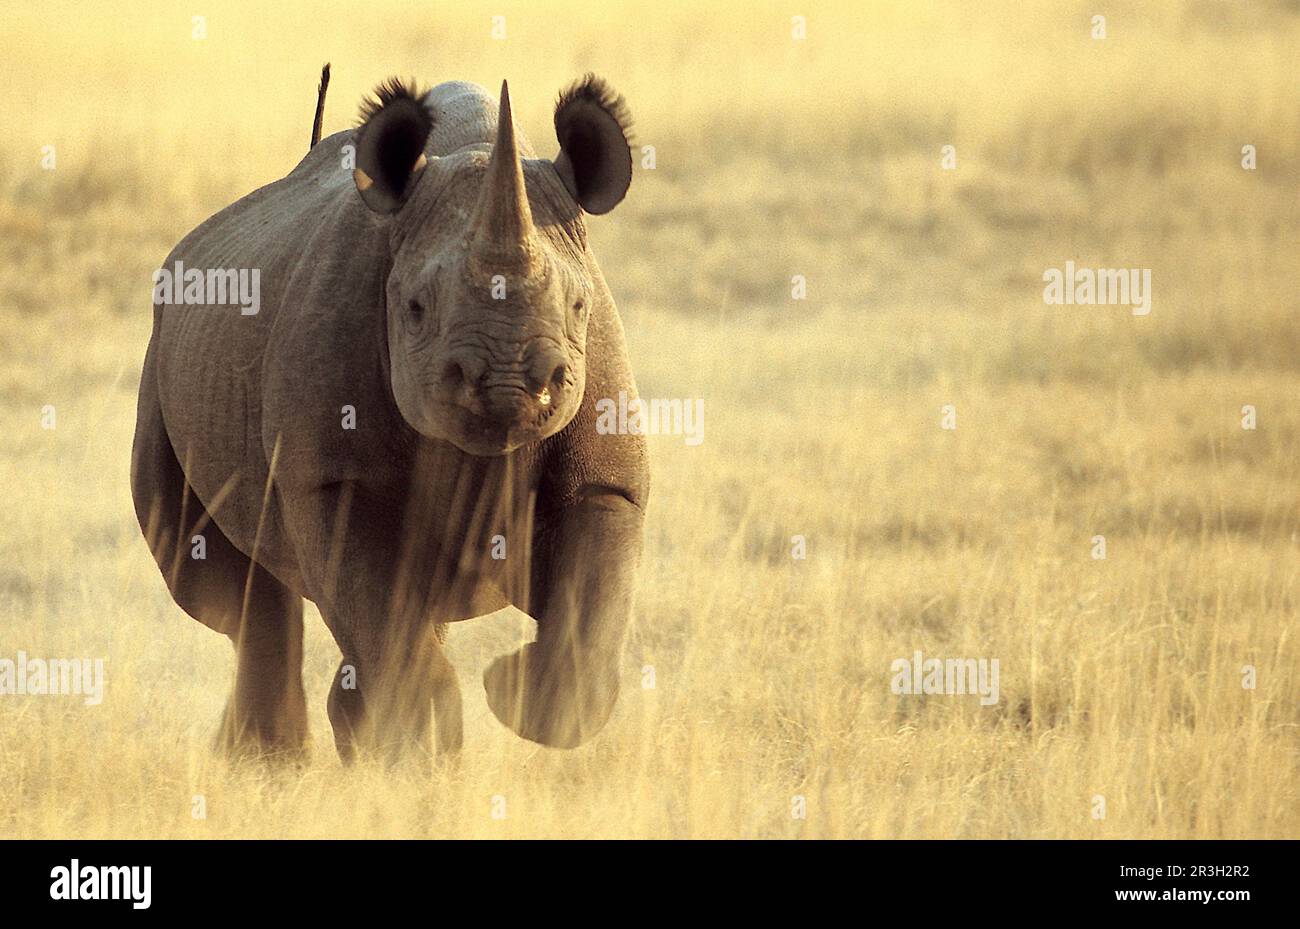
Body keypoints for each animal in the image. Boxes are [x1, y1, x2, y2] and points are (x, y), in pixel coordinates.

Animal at [130, 68, 648, 759]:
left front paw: (507, 690)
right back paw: (268, 763)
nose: (511, 385)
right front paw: (420, 755)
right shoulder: (330, 478)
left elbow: (590, 619)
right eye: (415, 309)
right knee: (220, 589)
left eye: (579, 306)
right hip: (163, 348)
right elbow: (385, 629)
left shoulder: (606, 480)